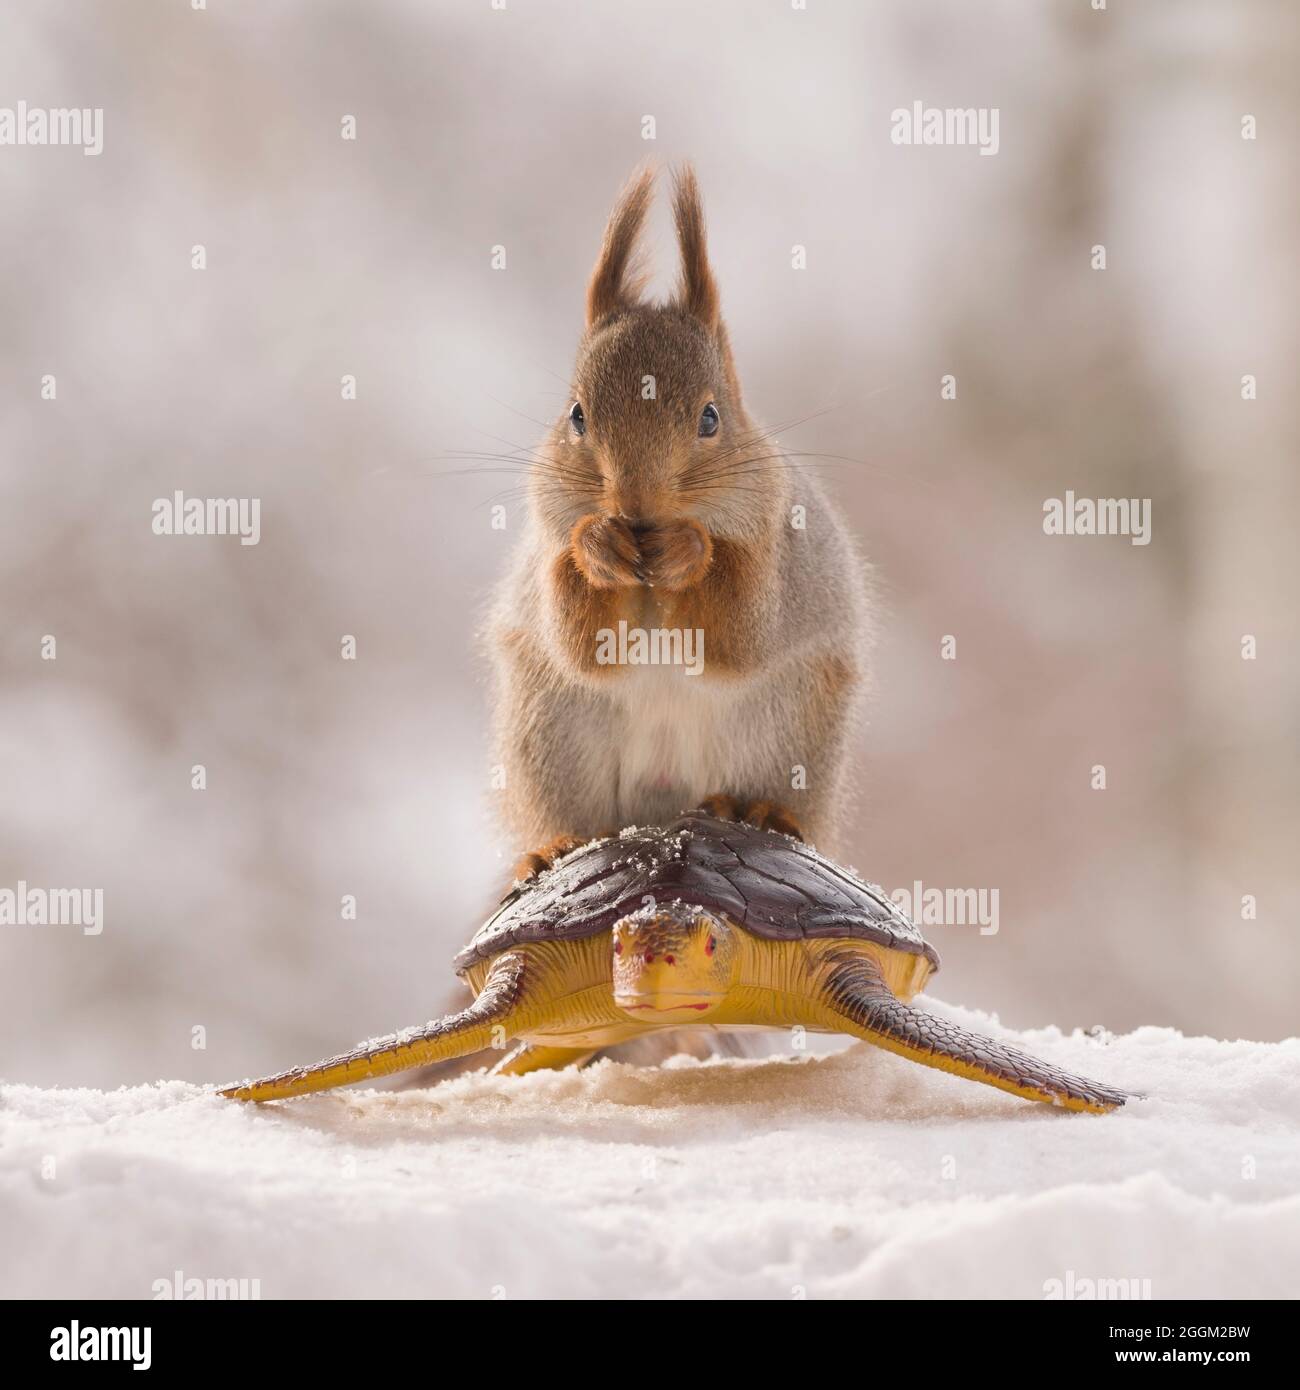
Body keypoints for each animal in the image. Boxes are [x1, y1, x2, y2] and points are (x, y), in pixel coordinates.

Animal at [488, 165, 871, 882]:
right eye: (576, 416)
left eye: (711, 418)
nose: (636, 508)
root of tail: (664, 806)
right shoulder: (550, 541)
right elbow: (581, 643)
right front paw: (596, 545)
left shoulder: (775, 545)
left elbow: (738, 630)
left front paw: (690, 548)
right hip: (550, 733)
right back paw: (553, 847)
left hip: (787, 733)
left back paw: (756, 811)